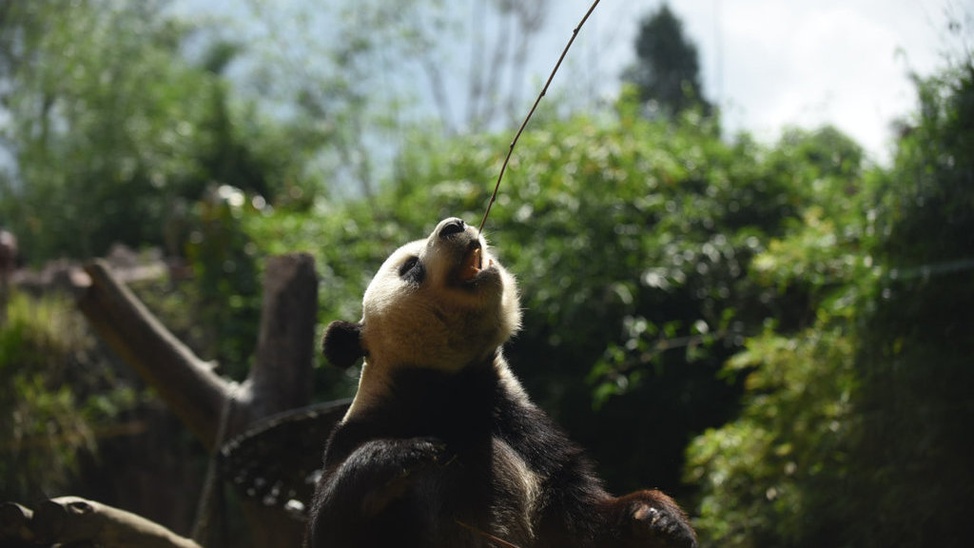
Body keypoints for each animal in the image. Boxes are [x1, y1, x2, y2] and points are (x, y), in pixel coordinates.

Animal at [307, 217, 697, 548]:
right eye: (410, 266)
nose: (455, 225)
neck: (450, 384)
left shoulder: (524, 432)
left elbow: (582, 521)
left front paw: (658, 521)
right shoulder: (367, 426)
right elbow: (331, 523)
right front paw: (409, 451)